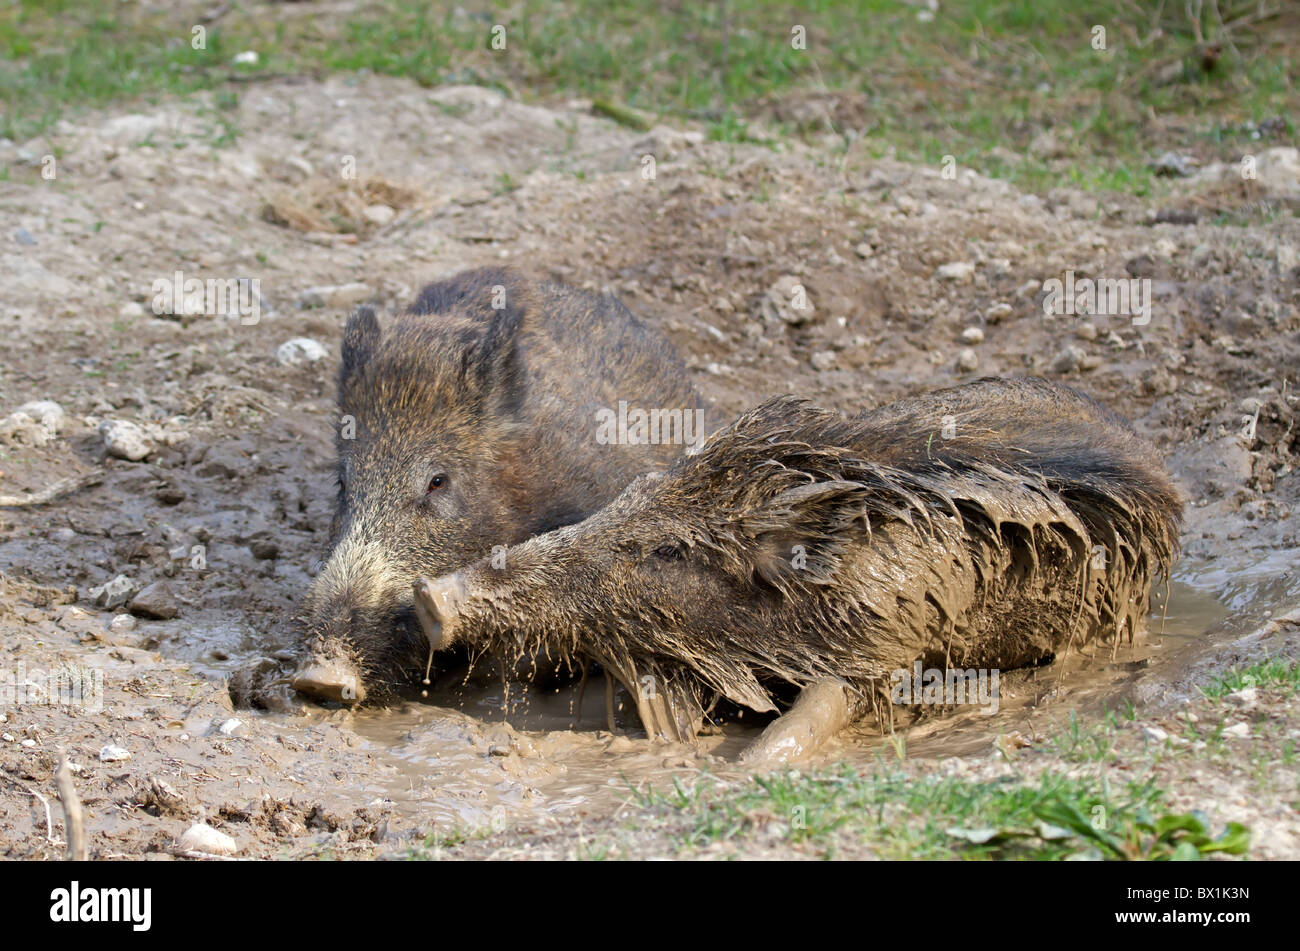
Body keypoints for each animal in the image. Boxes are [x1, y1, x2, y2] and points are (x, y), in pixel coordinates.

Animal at [414, 377, 1183, 759]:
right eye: (628, 498)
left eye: (667, 551)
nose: (429, 596)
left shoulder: (888, 637)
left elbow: (801, 724)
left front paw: (747, 766)